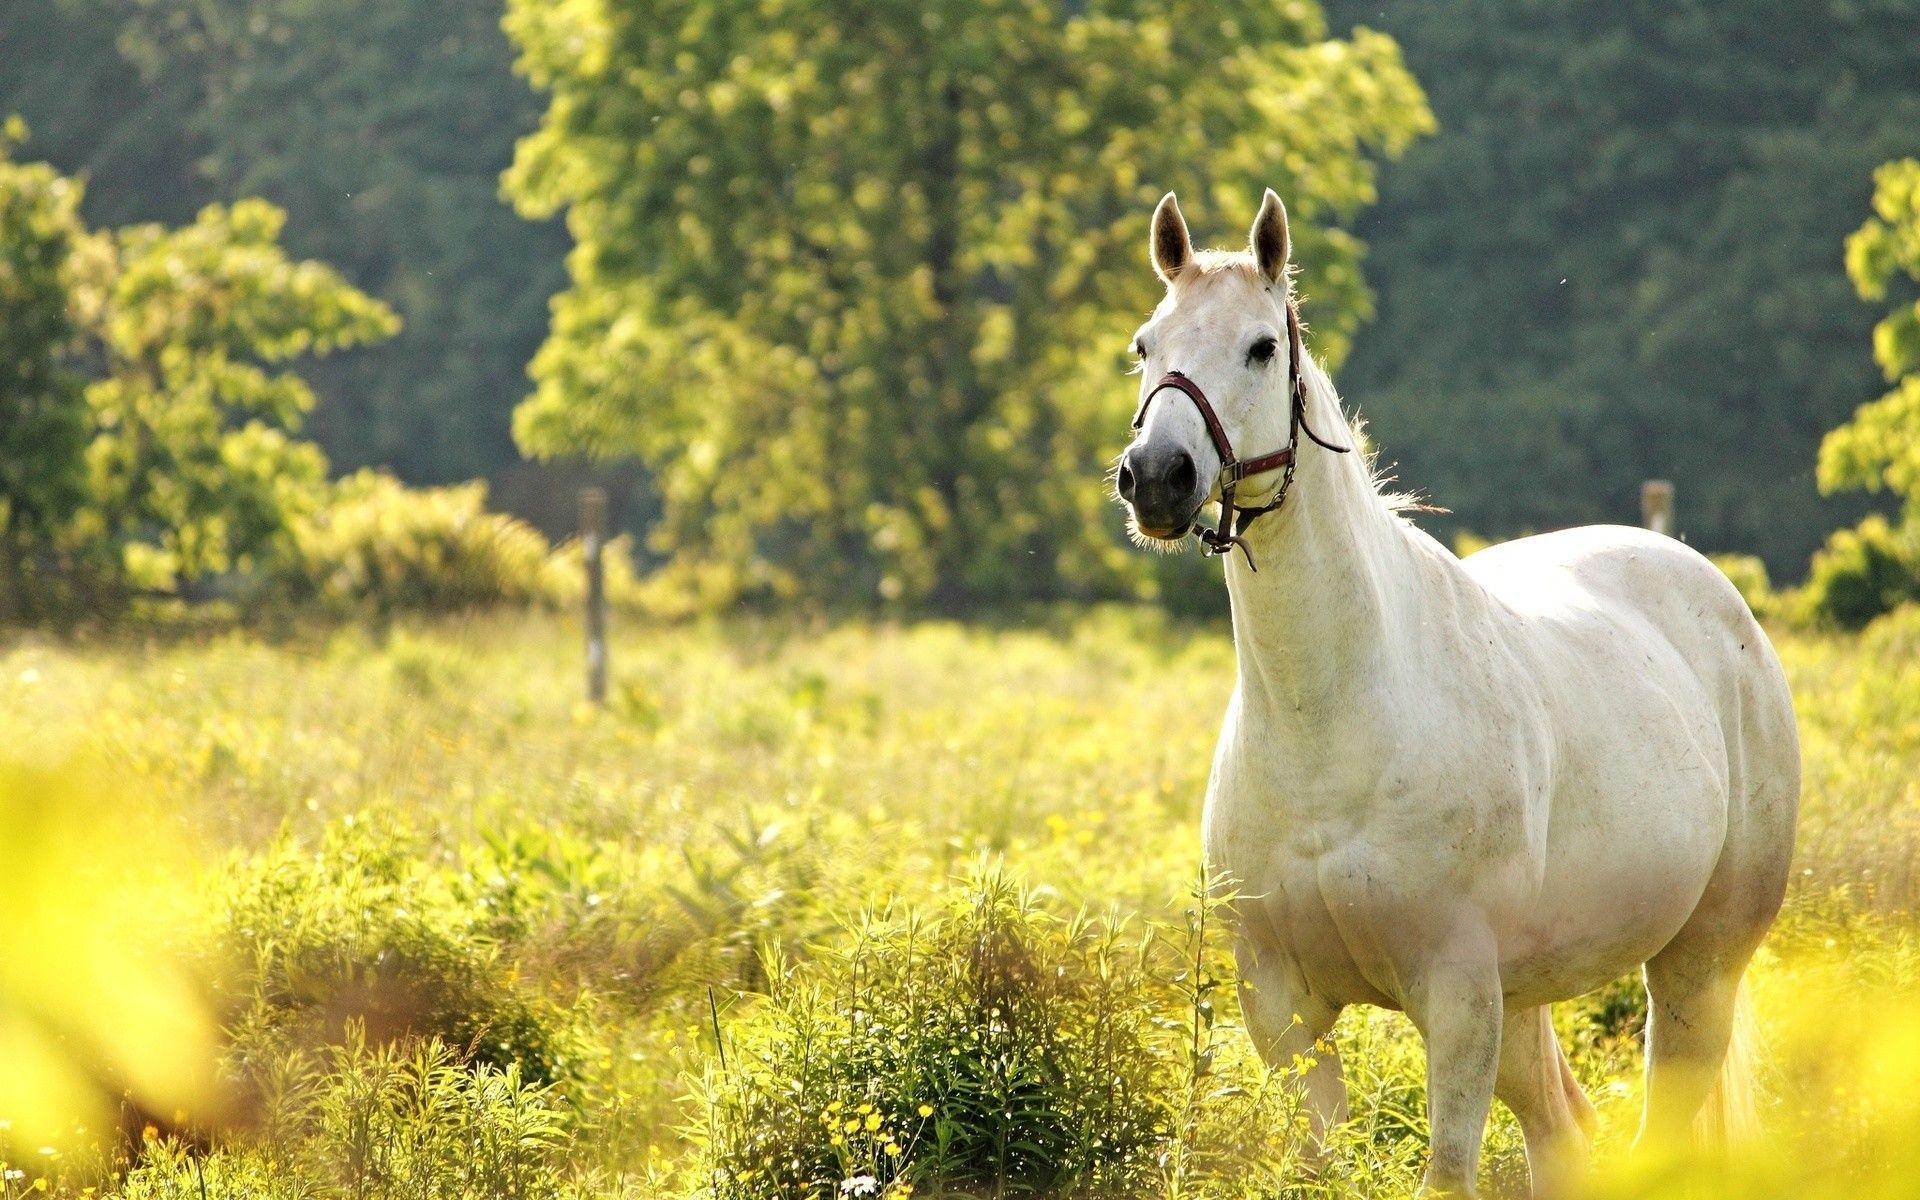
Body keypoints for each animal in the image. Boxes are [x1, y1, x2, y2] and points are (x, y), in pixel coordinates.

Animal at [1113, 189, 1798, 1197]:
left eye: (1260, 348)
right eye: (1145, 344)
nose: (1157, 478)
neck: (1333, 727)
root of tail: (1714, 597)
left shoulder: (1458, 995)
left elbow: (1446, 1171)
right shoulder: (1283, 1009)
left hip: (1695, 969)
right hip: (1529, 1001)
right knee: (1564, 1132)